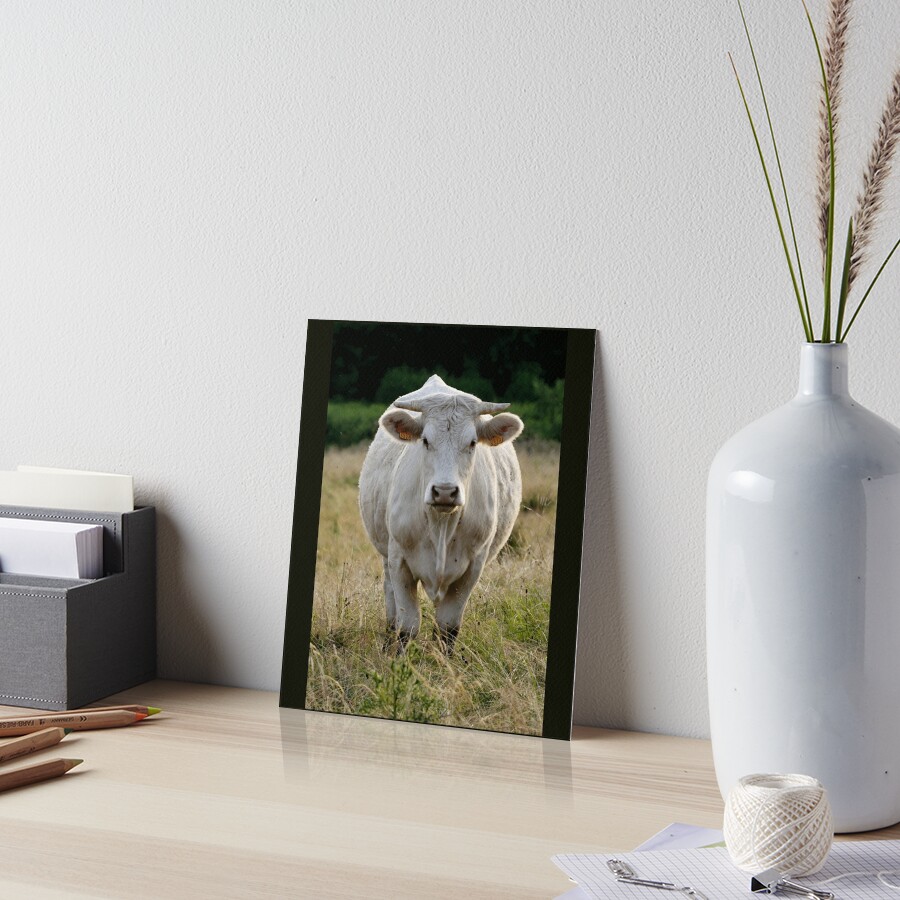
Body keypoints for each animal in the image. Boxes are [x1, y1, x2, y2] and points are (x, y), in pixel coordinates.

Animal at [358, 375, 524, 651]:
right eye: (425, 441)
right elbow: (408, 626)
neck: (441, 526)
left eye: (472, 443)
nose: (445, 491)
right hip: (386, 554)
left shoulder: (472, 569)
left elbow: (448, 627)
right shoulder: (399, 561)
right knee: (390, 601)